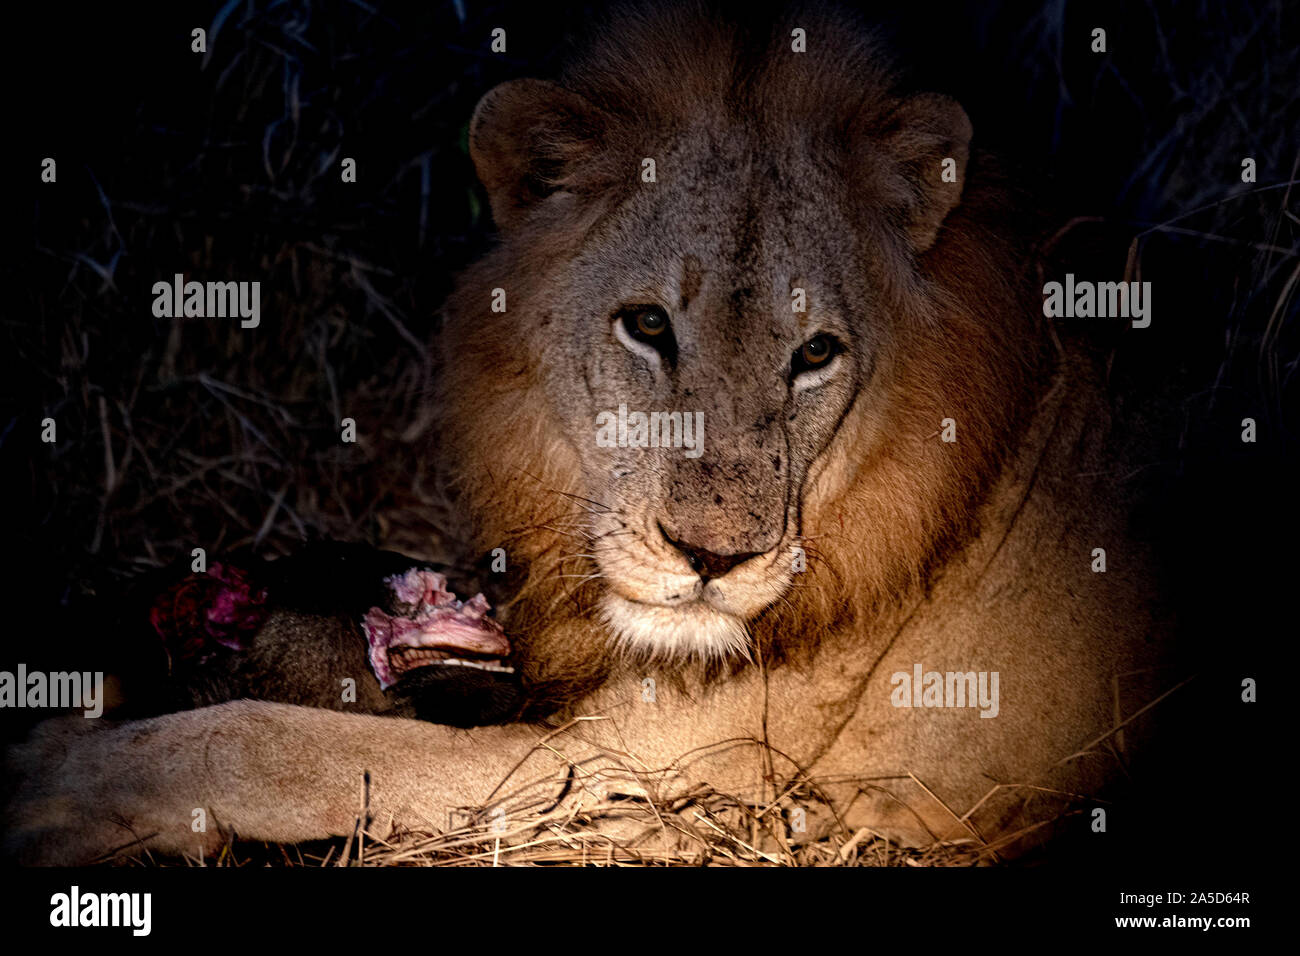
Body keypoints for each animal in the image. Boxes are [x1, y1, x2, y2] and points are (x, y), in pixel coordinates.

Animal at [3, 1, 1174, 864]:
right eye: (647, 326)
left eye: (815, 353)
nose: (712, 561)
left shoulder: (635, 773)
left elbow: (286, 745)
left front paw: (59, 777)